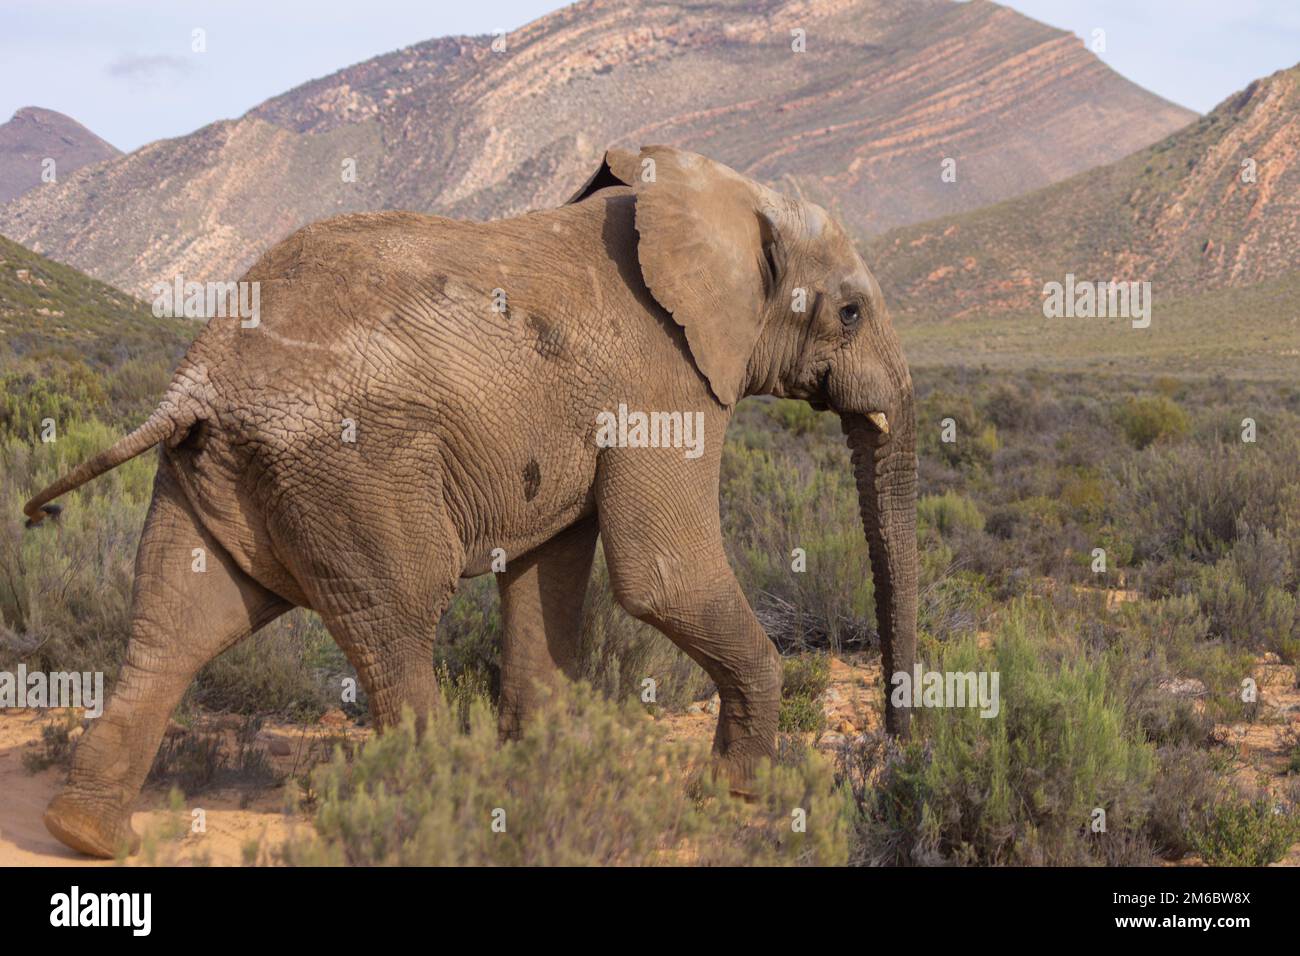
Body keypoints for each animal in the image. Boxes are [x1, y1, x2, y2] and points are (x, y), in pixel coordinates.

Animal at [22, 145, 917, 858]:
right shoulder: (668, 380)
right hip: (355, 467)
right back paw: (441, 806)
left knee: (178, 618)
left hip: (216, 470)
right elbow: (663, 574)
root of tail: (201, 377)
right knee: (397, 617)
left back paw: (85, 834)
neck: (722, 195)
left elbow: (545, 573)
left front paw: (541, 775)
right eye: (849, 311)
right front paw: (739, 794)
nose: (900, 753)